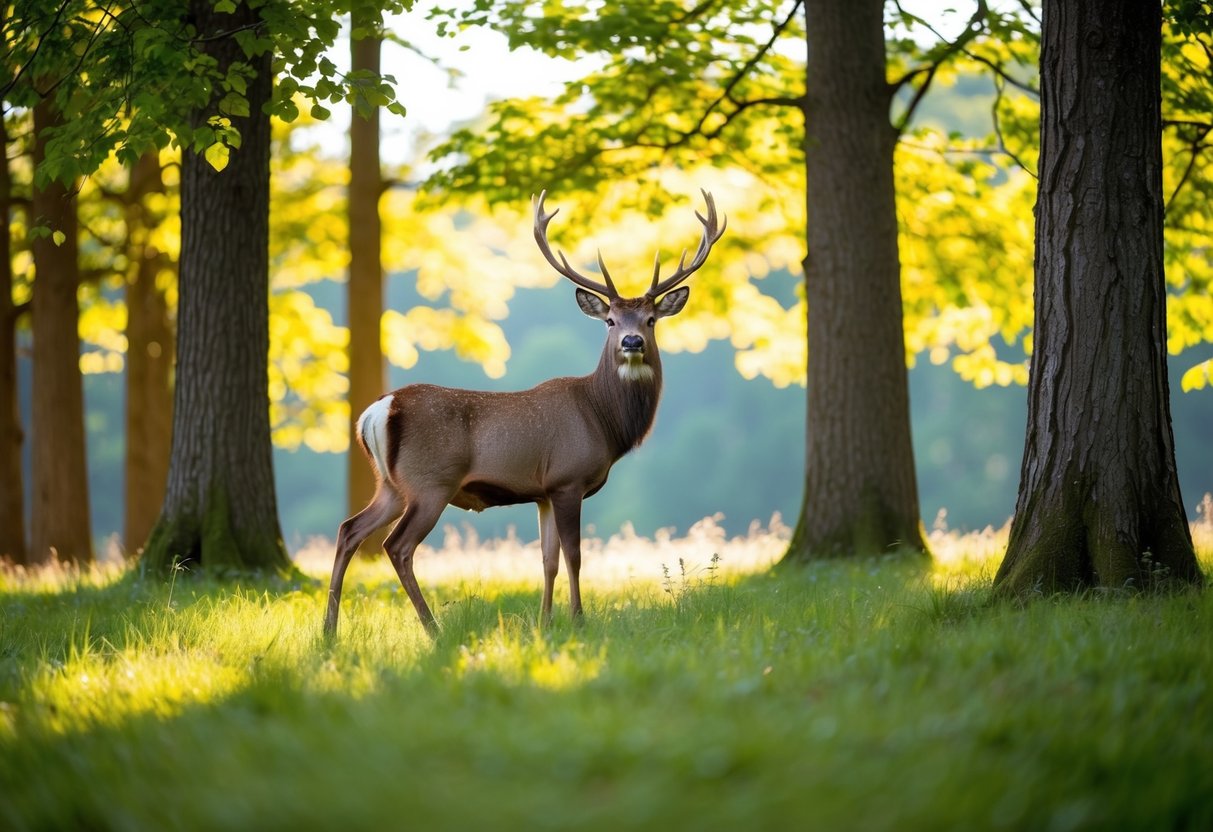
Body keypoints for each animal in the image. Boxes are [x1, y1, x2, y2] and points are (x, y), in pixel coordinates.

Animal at [323, 189, 726, 636]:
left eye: (652, 319)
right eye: (609, 320)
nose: (632, 341)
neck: (602, 420)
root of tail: (377, 410)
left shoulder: (543, 492)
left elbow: (548, 560)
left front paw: (545, 621)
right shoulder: (568, 479)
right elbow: (574, 555)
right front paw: (578, 620)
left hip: (391, 485)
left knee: (349, 530)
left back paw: (329, 631)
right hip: (430, 482)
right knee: (397, 546)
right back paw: (433, 629)